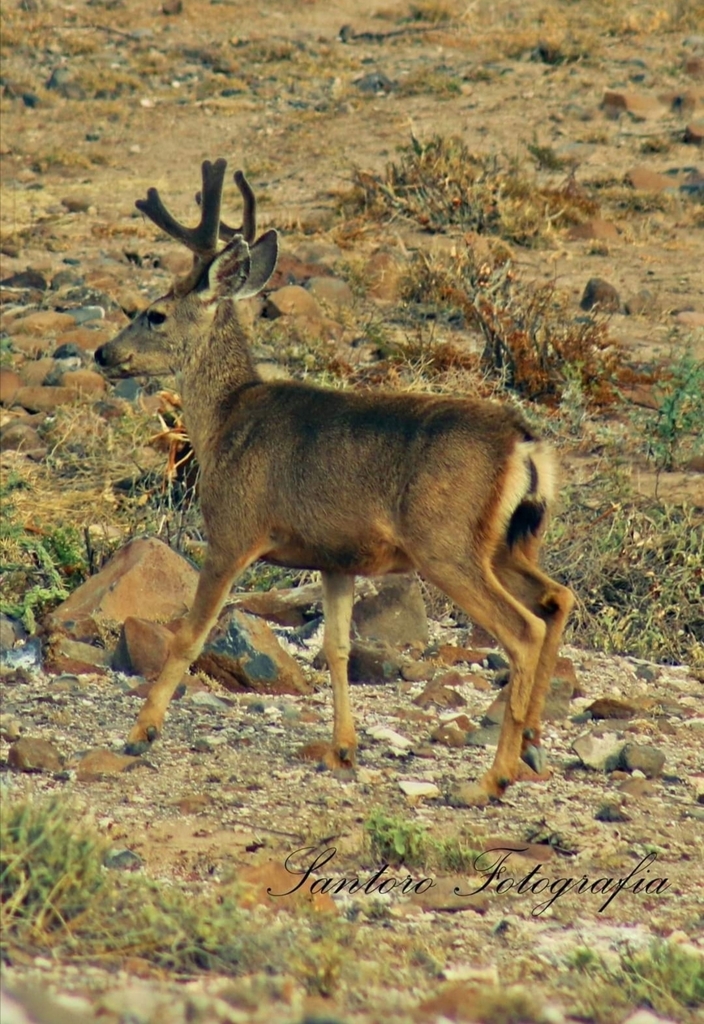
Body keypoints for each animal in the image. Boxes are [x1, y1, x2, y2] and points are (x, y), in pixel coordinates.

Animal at [95, 157, 574, 801]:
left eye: (155, 313)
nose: (102, 353)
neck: (224, 421)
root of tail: (525, 443)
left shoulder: (233, 530)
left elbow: (189, 634)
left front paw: (140, 733)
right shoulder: (336, 556)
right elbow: (338, 647)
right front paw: (344, 749)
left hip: (445, 542)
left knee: (522, 629)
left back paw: (488, 781)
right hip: (509, 543)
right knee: (556, 598)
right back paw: (532, 746)